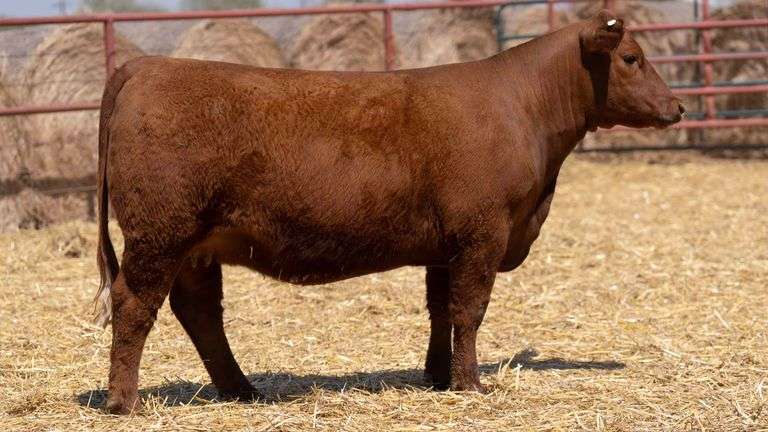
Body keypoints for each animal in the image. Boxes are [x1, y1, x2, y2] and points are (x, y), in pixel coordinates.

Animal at [93, 10, 684, 414]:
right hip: (159, 234)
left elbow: (441, 311)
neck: (523, 108)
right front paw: (472, 384)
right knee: (134, 304)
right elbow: (470, 310)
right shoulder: (483, 235)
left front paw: (439, 376)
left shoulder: (446, 247)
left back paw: (241, 390)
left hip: (197, 246)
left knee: (200, 313)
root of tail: (145, 66)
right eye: (631, 58)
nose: (677, 108)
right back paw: (125, 402)